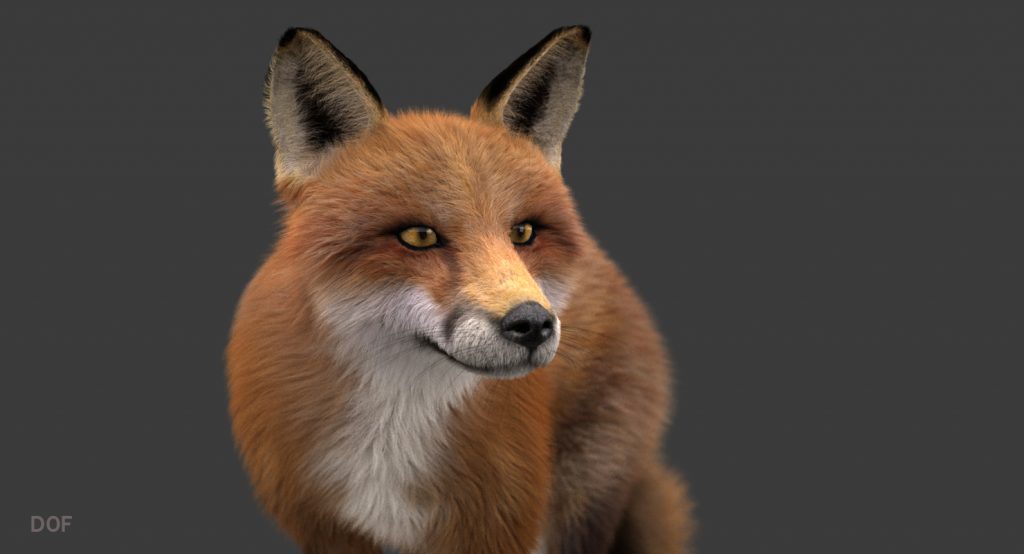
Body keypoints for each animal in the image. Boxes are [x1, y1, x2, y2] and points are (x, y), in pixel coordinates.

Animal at [226, 26, 695, 554]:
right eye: (419, 236)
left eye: (522, 233)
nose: (533, 323)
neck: (388, 447)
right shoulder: (327, 529)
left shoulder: (498, 524)